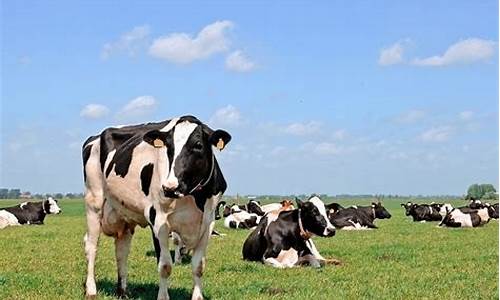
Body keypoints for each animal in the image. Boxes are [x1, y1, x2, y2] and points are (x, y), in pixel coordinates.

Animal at [82, 115, 230, 300]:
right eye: (168, 147)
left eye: (198, 145)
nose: (170, 187)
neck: (196, 198)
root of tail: (95, 137)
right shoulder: (158, 219)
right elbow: (165, 266)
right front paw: (163, 296)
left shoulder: (207, 223)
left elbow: (198, 266)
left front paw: (197, 296)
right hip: (93, 202)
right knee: (91, 246)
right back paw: (91, 289)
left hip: (124, 215)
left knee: (122, 251)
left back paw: (123, 291)